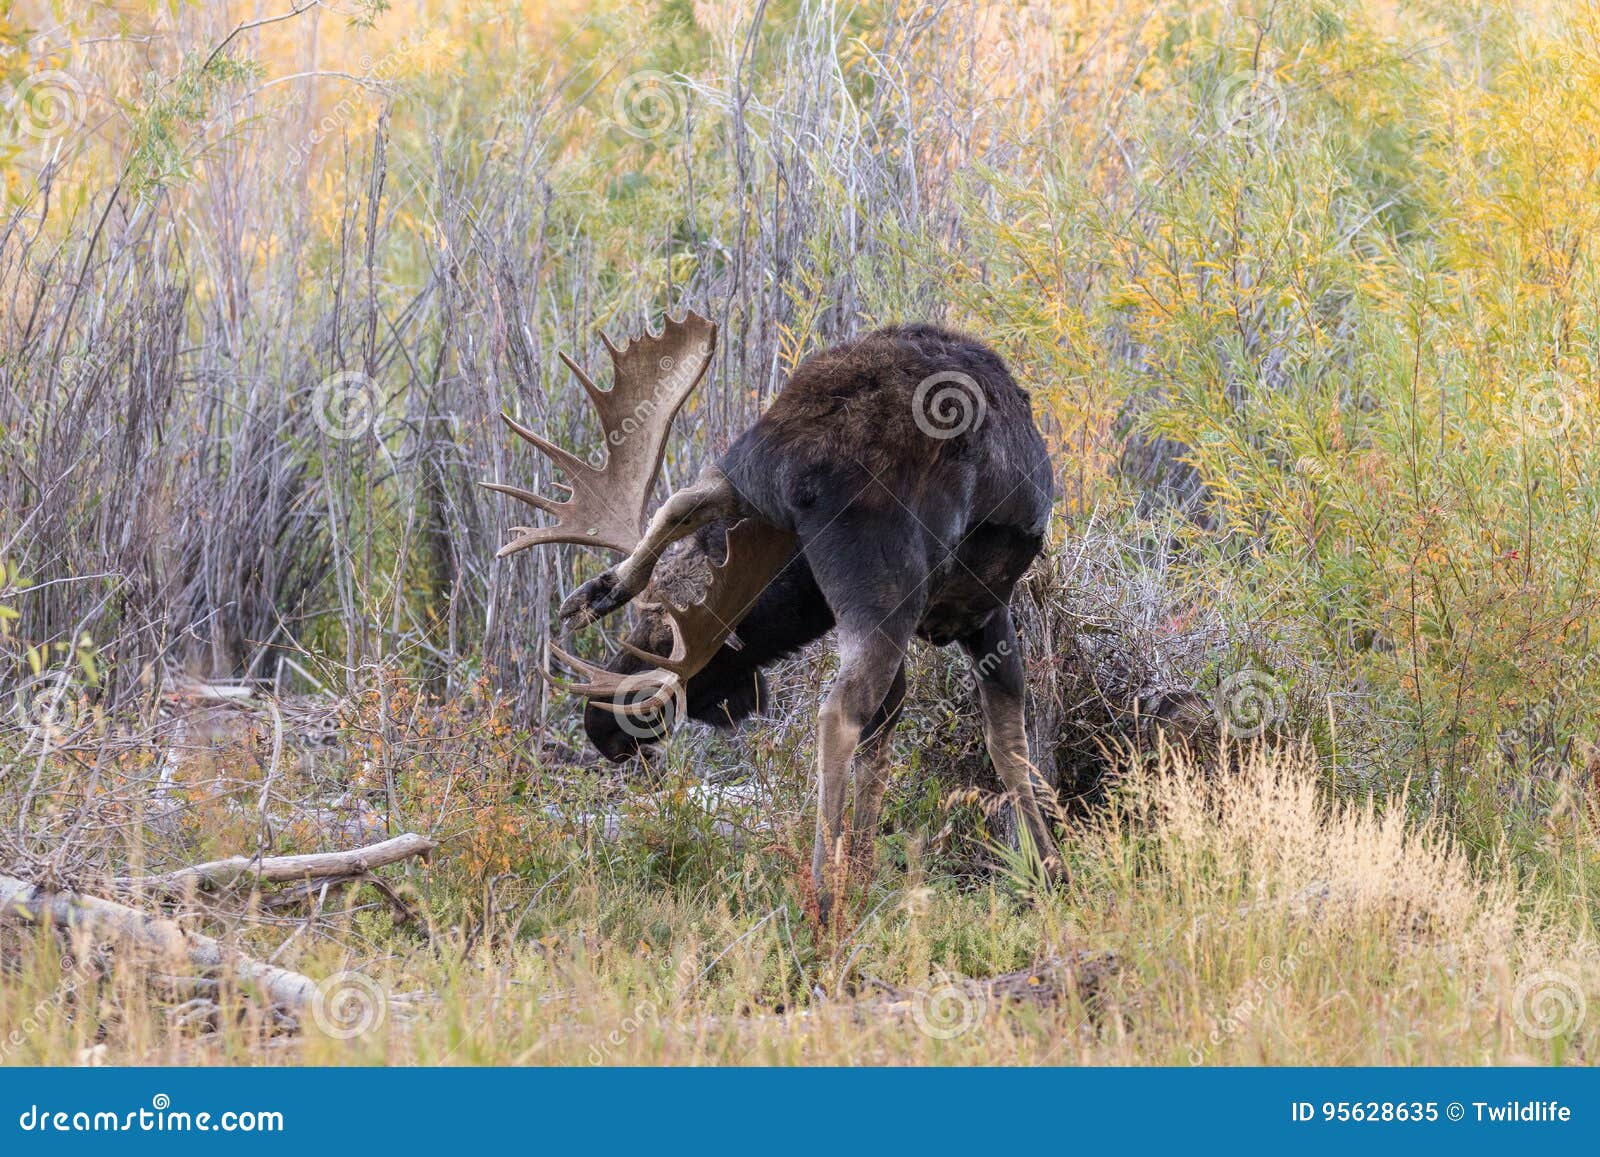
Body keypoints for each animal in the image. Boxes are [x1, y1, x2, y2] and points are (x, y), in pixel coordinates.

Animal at [484, 311, 1058, 917]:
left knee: (694, 495)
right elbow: (1007, 742)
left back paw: (600, 590)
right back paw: (822, 892)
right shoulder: (985, 610)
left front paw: (865, 869)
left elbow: (888, 742)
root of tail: (812, 452)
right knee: (839, 711)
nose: (600, 727)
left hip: (759, 477)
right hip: (888, 582)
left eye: (659, 635)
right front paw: (1049, 870)